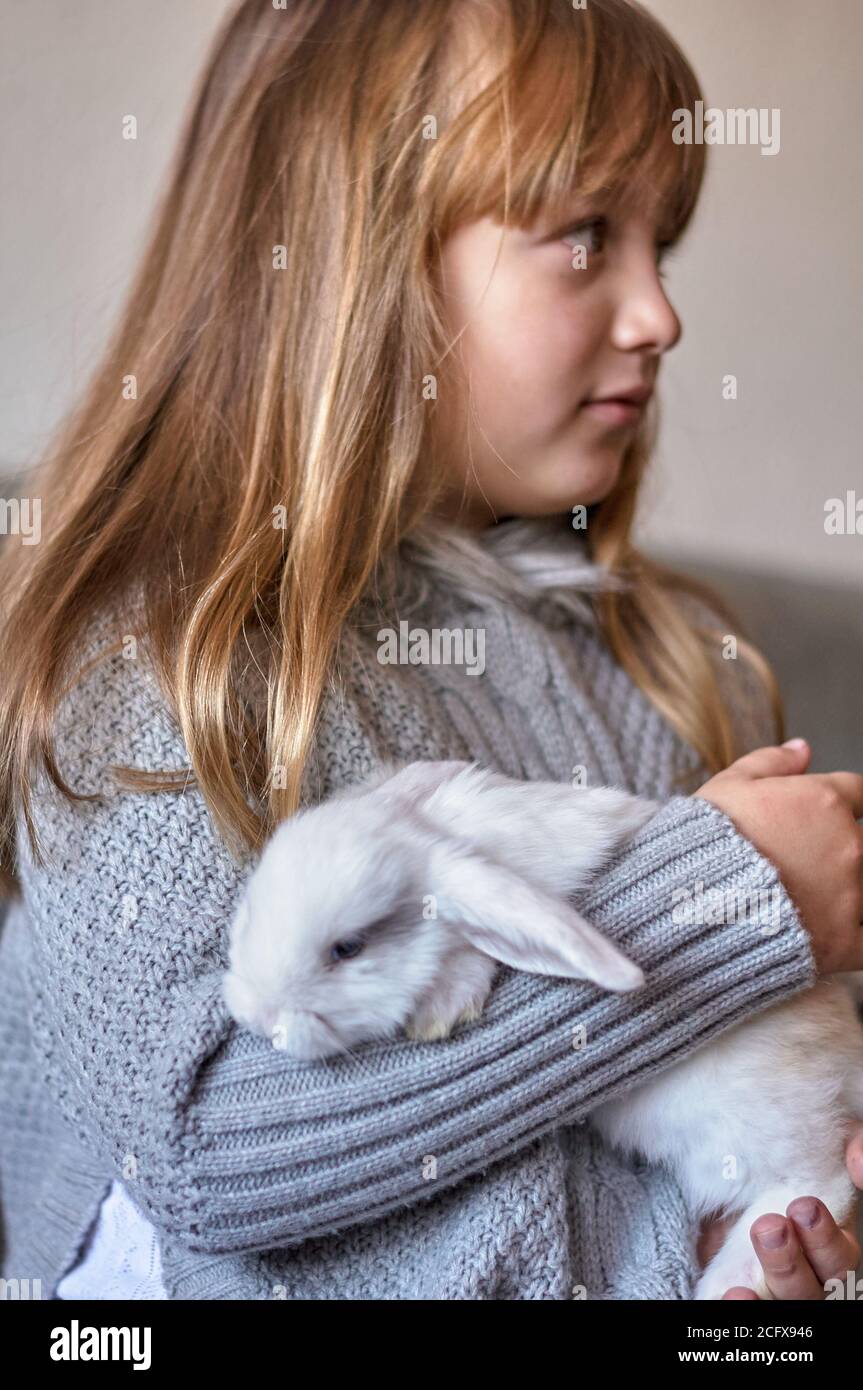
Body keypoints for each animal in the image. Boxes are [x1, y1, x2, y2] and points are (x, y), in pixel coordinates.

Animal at [222, 758, 863, 1301]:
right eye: (250, 913)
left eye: (347, 948)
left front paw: (444, 1002)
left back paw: (725, 1283)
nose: (256, 1015)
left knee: (816, 1186)